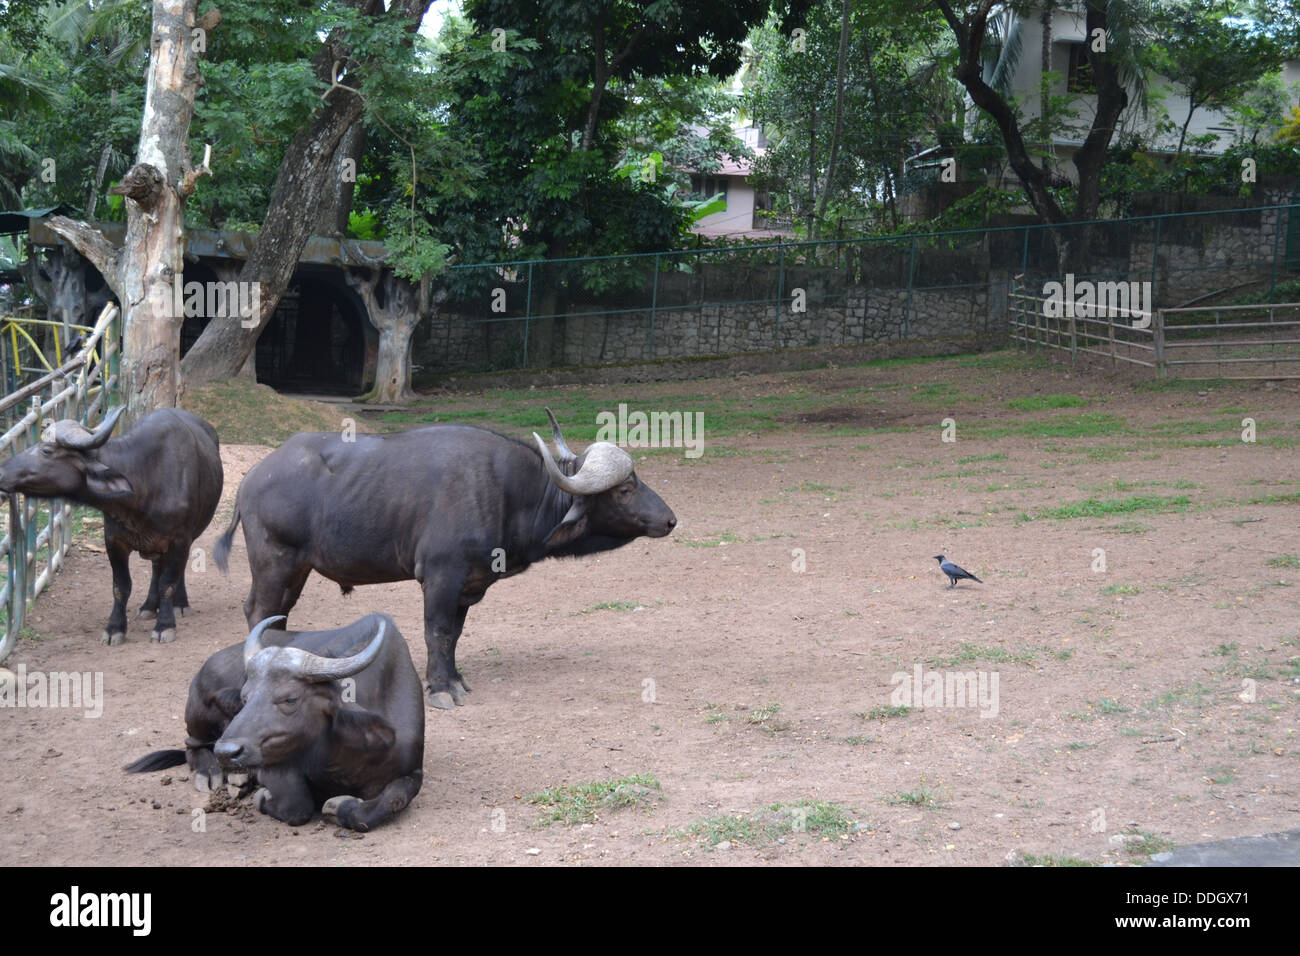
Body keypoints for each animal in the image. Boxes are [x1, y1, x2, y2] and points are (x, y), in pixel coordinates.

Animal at [0, 406, 222, 644]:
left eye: (46, 450)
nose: (2, 473)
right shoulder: (114, 540)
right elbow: (121, 586)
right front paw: (115, 628)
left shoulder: (180, 540)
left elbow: (168, 583)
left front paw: (165, 625)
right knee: (156, 568)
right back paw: (149, 606)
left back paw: (179, 604)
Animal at [124, 613, 424, 831]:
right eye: (245, 697)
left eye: (290, 699)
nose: (227, 752)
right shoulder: (275, 765)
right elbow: (296, 804)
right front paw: (262, 797)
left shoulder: (412, 771)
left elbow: (392, 799)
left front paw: (340, 808)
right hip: (199, 715)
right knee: (192, 745)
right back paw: (213, 773)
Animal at [215, 410, 676, 708]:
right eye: (625, 489)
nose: (670, 519)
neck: (509, 493)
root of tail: (251, 479)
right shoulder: (440, 577)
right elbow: (435, 631)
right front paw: (439, 688)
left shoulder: (468, 585)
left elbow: (453, 635)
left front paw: (455, 679)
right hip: (274, 560)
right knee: (259, 609)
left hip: (299, 568)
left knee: (279, 613)